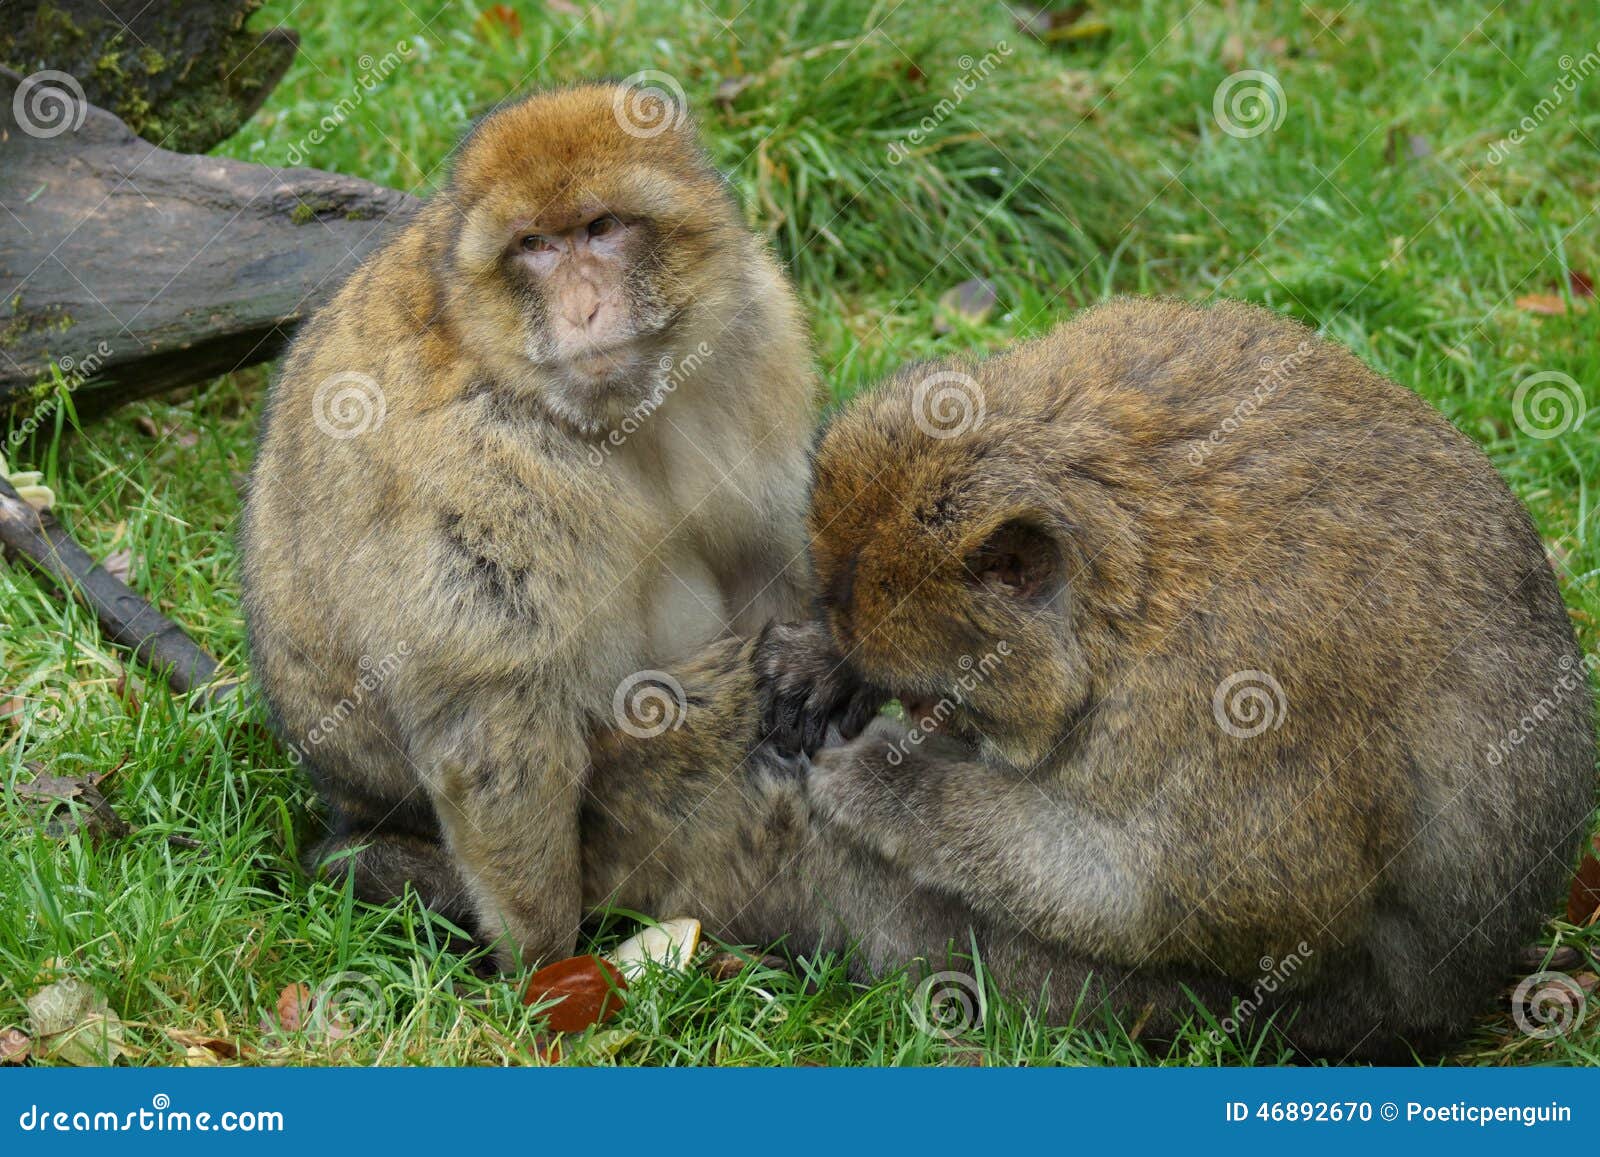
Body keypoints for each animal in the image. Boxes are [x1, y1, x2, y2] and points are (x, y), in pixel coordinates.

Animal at [239, 83, 821, 970]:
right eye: (536, 246)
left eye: (602, 228)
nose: (584, 307)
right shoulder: (474, 458)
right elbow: (492, 724)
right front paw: (548, 967)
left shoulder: (756, 337)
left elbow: (768, 559)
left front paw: (812, 663)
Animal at [581, 297, 1596, 1061]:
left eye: (943, 700)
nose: (935, 731)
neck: (1131, 587)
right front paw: (822, 664)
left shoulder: (1233, 690)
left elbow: (1218, 904)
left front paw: (885, 783)